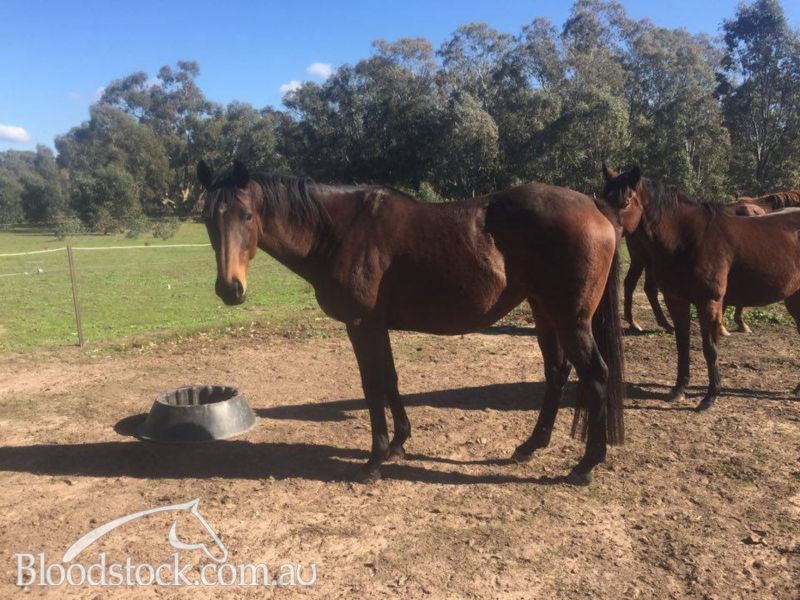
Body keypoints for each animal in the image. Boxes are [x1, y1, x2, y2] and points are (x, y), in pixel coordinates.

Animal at [197, 159, 627, 485]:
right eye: (207, 219)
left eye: (247, 215)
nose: (229, 289)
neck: (340, 230)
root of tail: (595, 206)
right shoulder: (377, 325)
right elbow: (390, 379)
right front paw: (399, 443)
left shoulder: (361, 324)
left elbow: (372, 385)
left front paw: (374, 460)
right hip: (543, 312)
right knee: (556, 372)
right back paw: (530, 446)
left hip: (571, 320)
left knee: (595, 375)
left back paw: (586, 465)